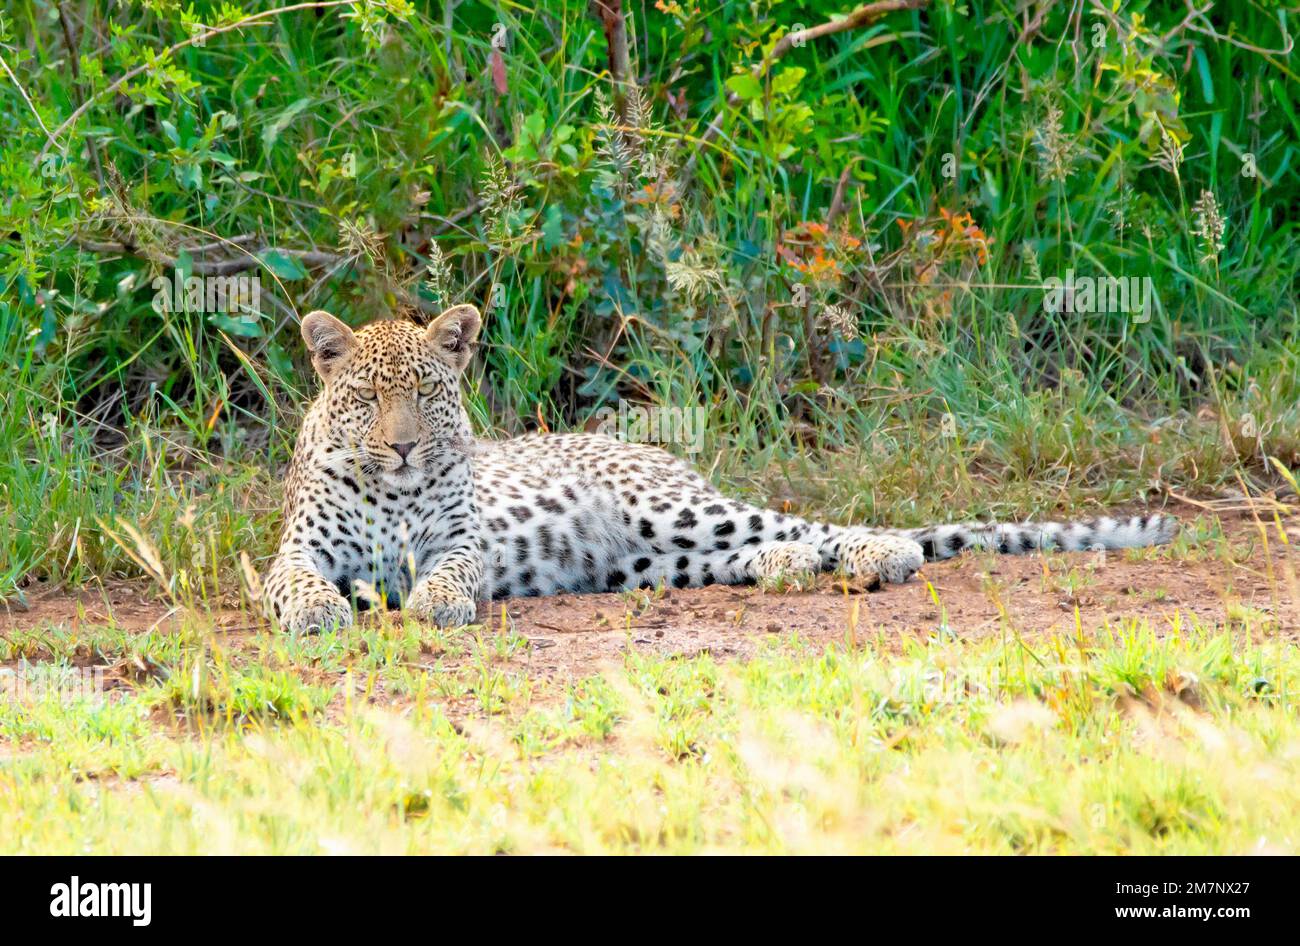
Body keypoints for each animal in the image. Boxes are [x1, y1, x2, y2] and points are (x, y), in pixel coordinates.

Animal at [262, 306, 1179, 633]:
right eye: (366, 399)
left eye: (426, 392)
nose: (404, 446)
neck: (390, 489)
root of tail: (649, 447)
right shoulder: (296, 553)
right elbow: (297, 583)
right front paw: (318, 614)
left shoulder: (459, 543)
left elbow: (449, 574)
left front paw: (434, 605)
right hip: (644, 562)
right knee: (758, 550)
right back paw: (787, 569)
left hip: (669, 511)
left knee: (824, 525)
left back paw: (879, 555)